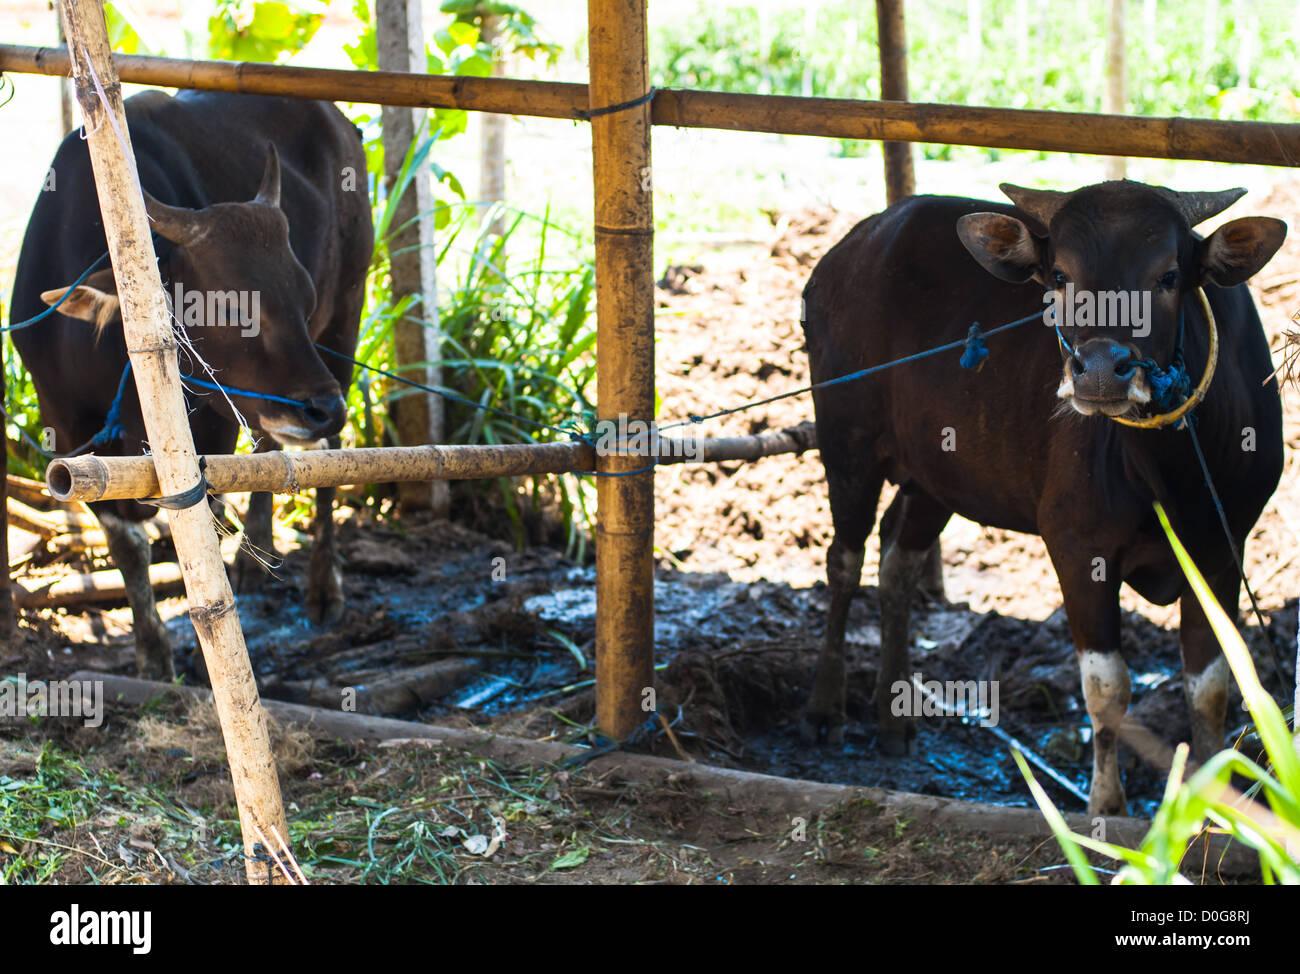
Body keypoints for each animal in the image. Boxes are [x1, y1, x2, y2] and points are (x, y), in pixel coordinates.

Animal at [5, 90, 374, 681]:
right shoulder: (67, 432)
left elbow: (206, 524)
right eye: (231, 308)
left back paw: (324, 587)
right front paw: (152, 652)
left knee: (328, 456)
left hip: (347, 318)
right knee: (272, 444)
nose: (325, 407)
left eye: (305, 295)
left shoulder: (211, 431)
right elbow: (128, 544)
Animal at [799, 180, 1286, 814]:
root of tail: (855, 245)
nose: (1099, 371)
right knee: (844, 560)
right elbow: (1106, 686)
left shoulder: (1224, 549)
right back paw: (824, 708)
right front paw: (1106, 806)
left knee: (897, 563)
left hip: (936, 475)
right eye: (1060, 275)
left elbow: (1210, 688)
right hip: (846, 443)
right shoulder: (1078, 547)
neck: (1169, 474)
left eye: (1169, 275)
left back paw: (893, 717)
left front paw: (1211, 812)